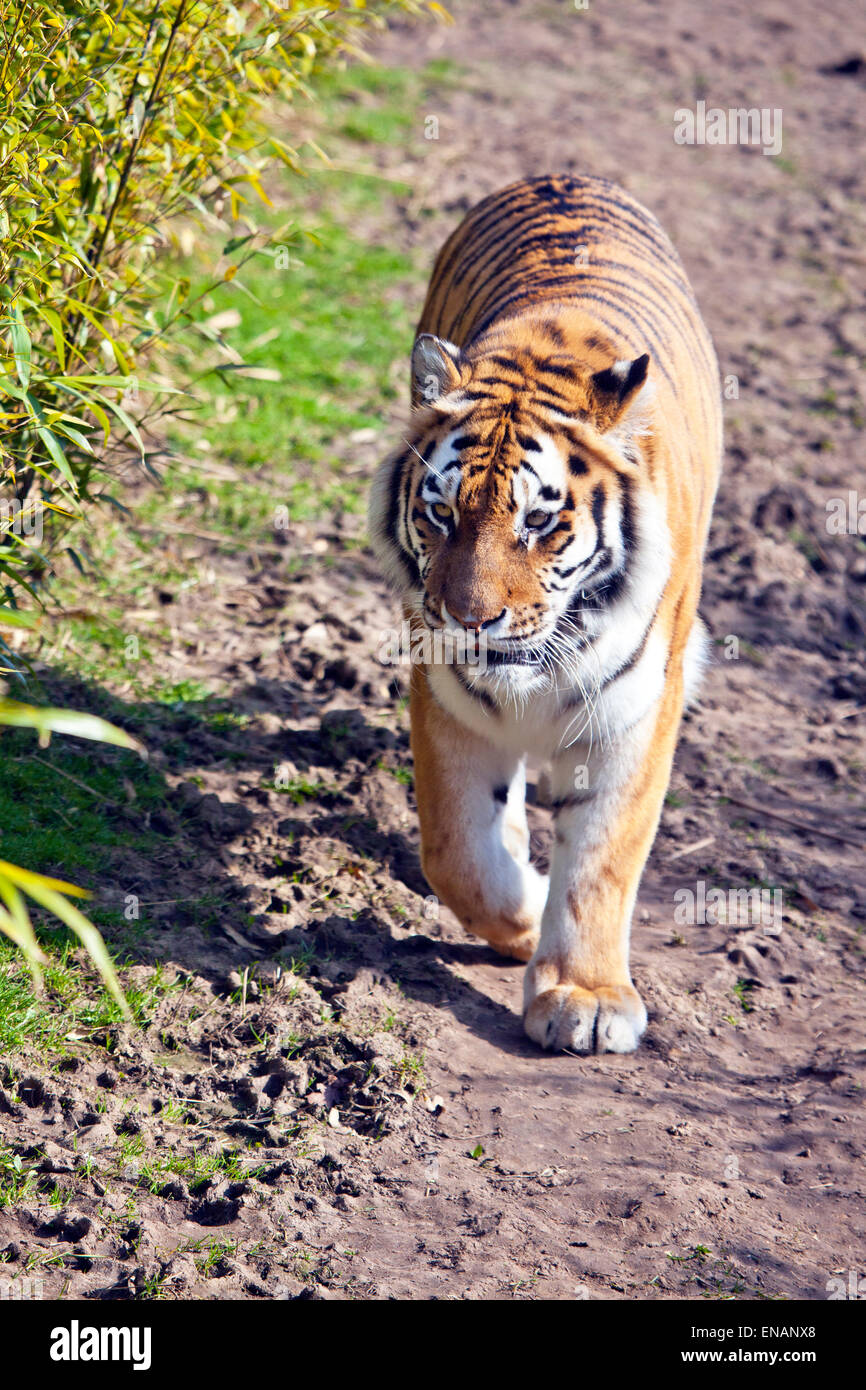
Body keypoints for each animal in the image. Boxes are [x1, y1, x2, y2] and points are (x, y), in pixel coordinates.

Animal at [368, 173, 722, 1054]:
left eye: (537, 521)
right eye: (442, 514)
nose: (470, 619)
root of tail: (567, 175)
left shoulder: (635, 713)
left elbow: (602, 860)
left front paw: (585, 999)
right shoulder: (447, 696)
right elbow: (457, 850)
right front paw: (525, 916)